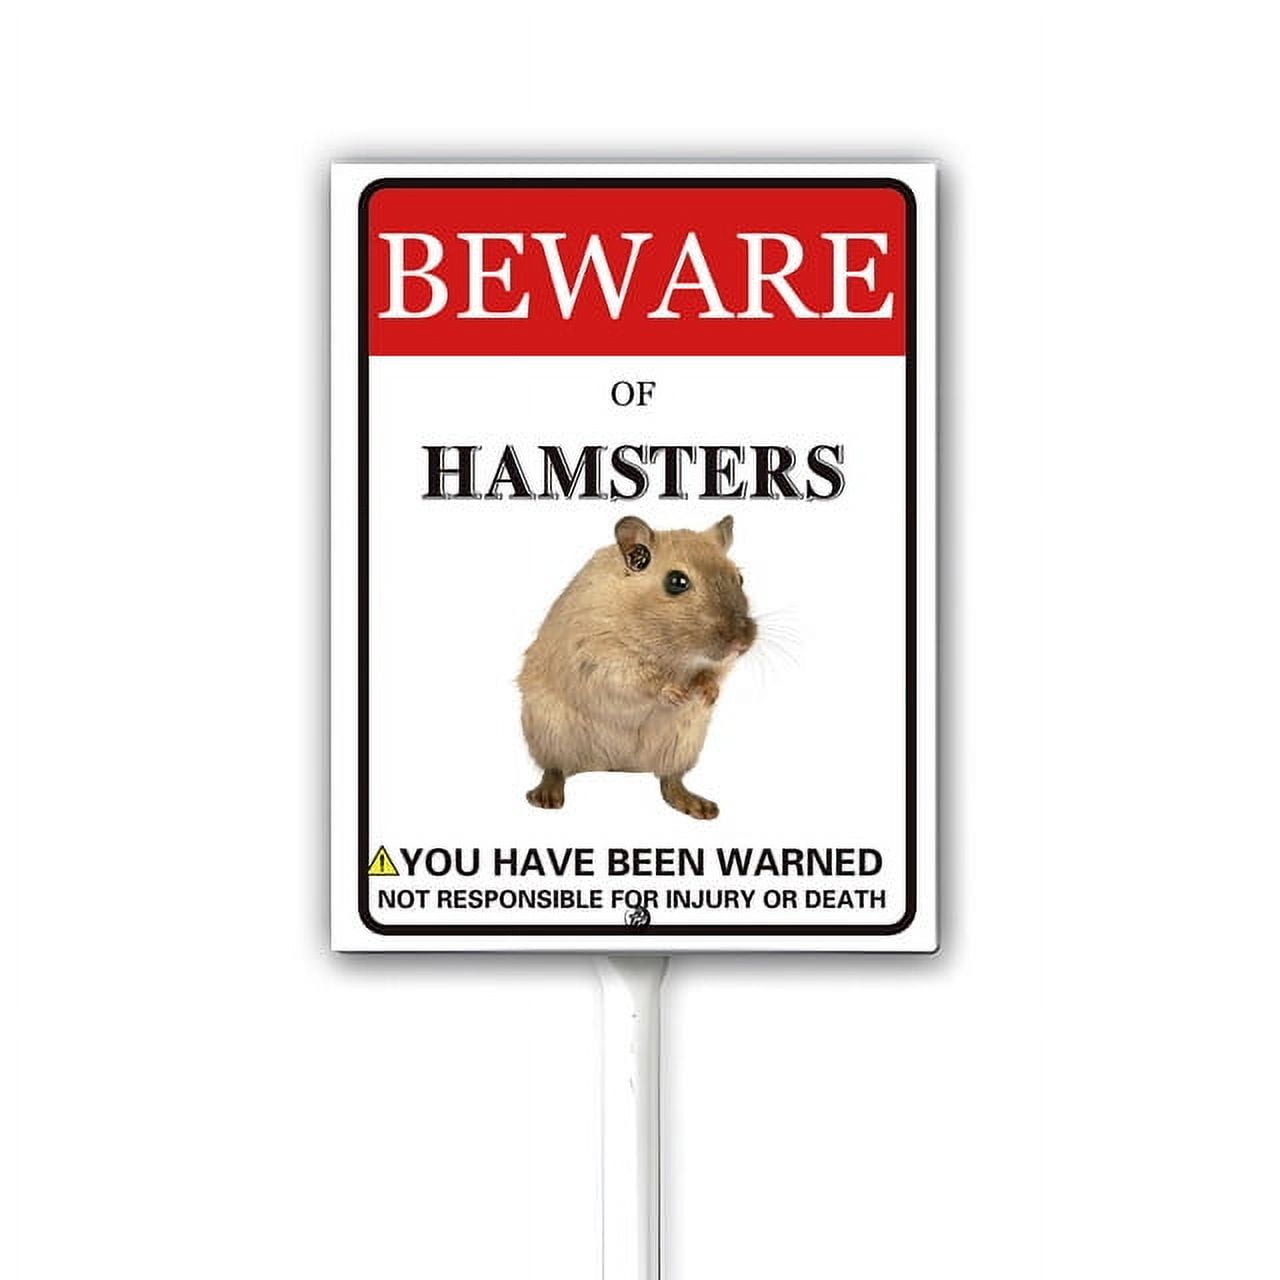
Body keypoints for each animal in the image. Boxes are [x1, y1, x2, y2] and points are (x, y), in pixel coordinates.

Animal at [519, 515, 756, 819]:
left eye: (740, 578)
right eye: (676, 582)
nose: (741, 642)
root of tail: (615, 765)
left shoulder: (716, 665)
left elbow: (713, 673)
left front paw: (707, 693)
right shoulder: (600, 656)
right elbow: (638, 681)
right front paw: (674, 693)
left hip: (682, 744)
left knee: (670, 780)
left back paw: (698, 806)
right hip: (548, 733)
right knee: (555, 768)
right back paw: (546, 796)